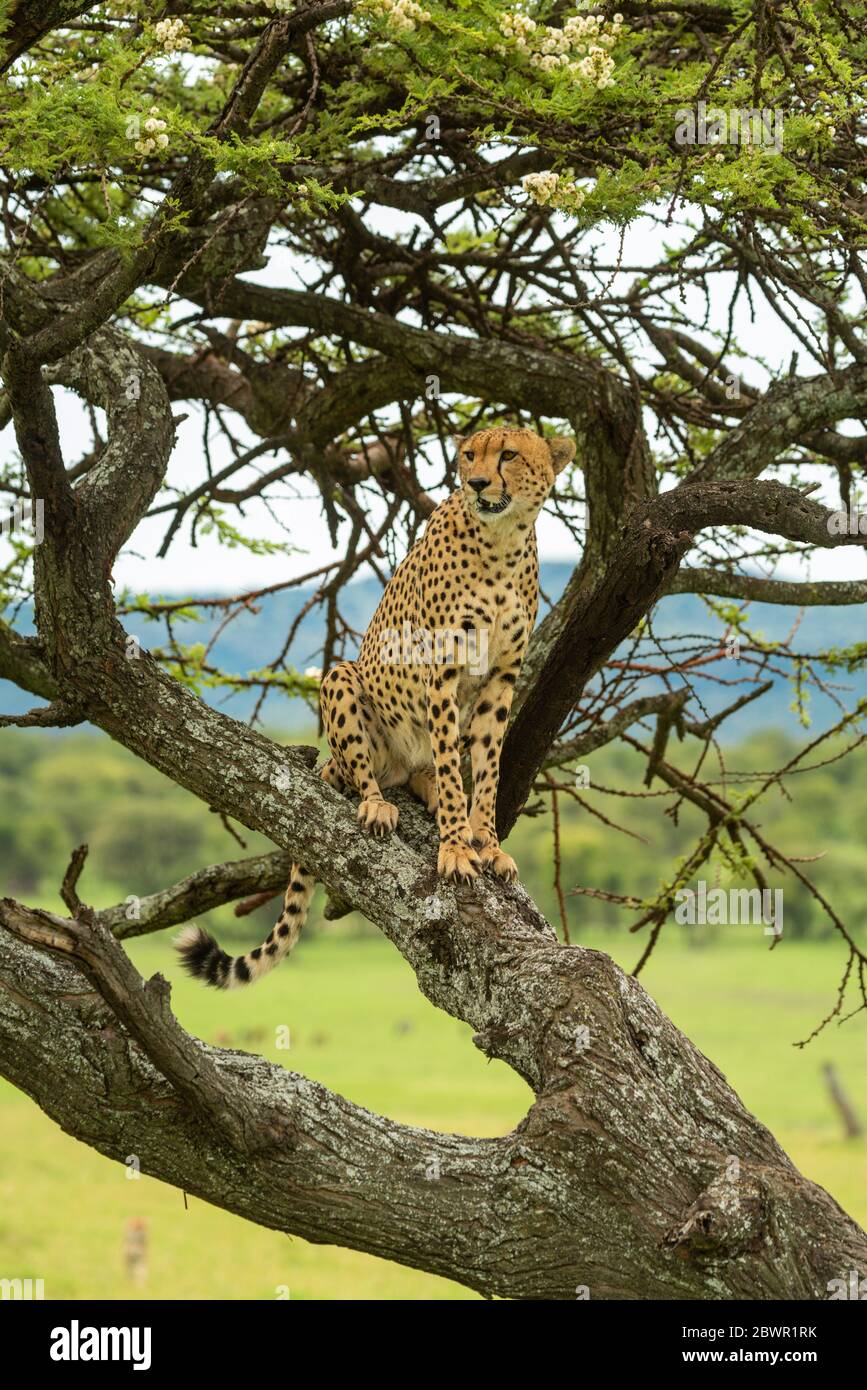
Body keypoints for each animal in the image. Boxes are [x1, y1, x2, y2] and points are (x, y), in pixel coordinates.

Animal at [177, 426, 575, 989]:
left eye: (509, 455)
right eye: (468, 456)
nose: (476, 483)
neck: (503, 539)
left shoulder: (501, 679)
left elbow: (486, 767)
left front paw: (487, 841)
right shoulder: (441, 673)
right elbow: (454, 765)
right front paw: (456, 846)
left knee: (424, 768)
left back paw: (426, 788)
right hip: (343, 680)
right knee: (363, 770)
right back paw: (377, 803)